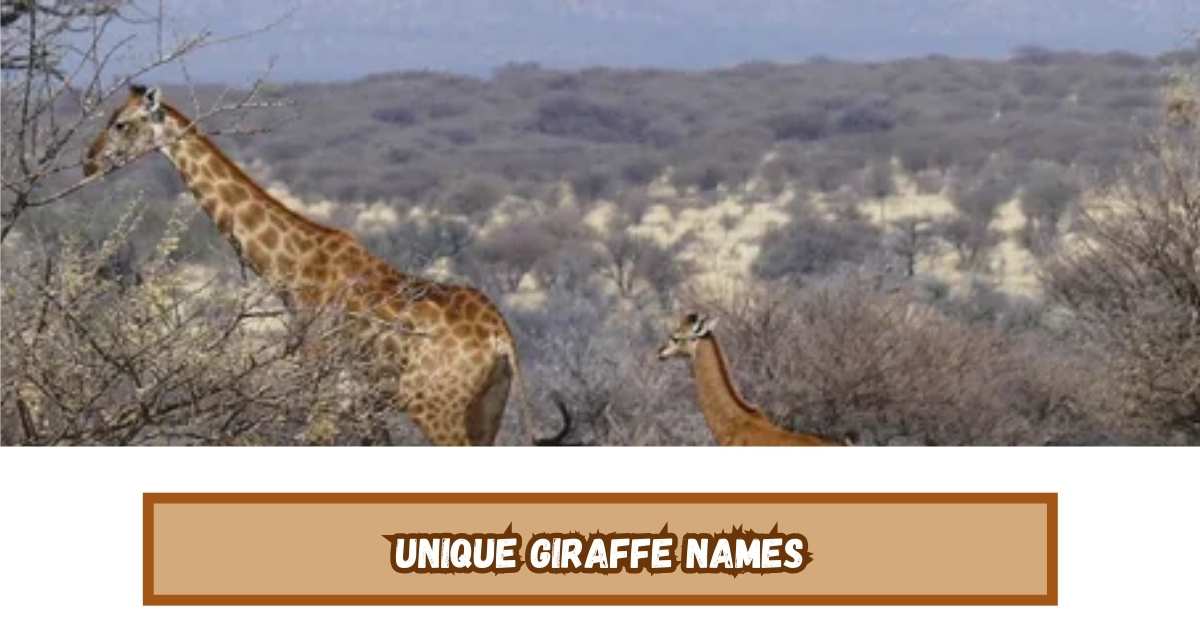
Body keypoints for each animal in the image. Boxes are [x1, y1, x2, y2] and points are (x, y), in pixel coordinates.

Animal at [83, 85, 567, 446]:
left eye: (121, 124)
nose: (87, 162)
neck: (293, 267)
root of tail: (500, 336)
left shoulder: (319, 374)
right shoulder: (362, 397)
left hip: (434, 405)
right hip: (487, 404)